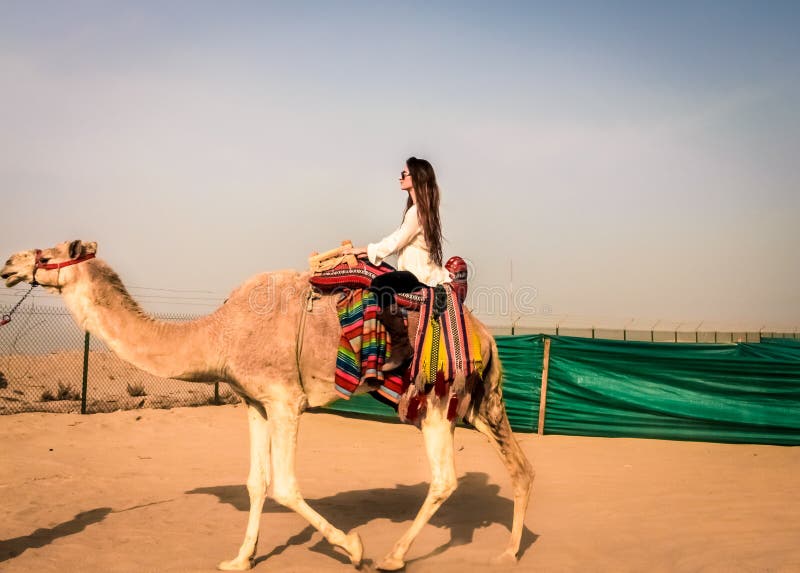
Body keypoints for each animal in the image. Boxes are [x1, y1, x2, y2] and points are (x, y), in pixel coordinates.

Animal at [1, 239, 534, 571]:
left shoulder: (285, 402)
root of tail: (487, 335)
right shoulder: (254, 404)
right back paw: (508, 552)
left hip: (435, 401)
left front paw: (353, 547)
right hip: (476, 404)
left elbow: (285, 487)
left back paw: (393, 556)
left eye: (50, 252)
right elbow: (256, 484)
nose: (8, 263)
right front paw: (239, 559)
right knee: (519, 467)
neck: (220, 334)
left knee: (444, 479)